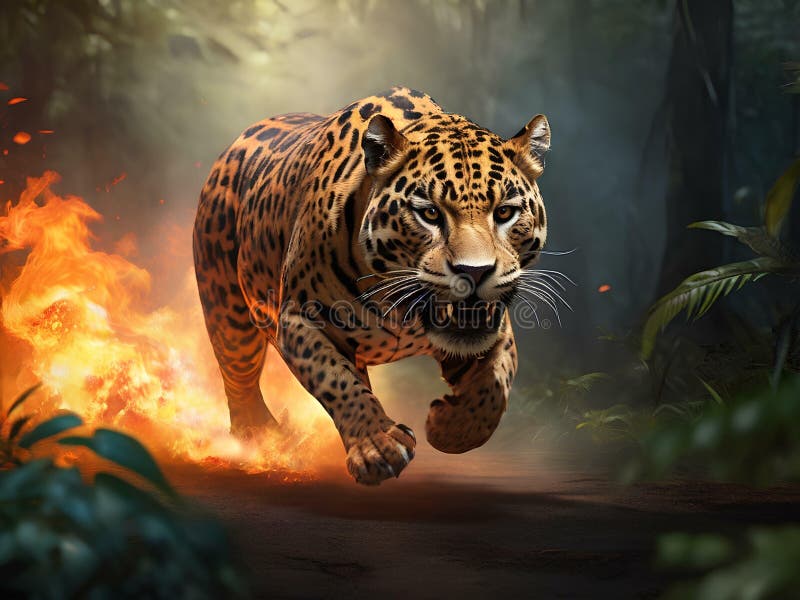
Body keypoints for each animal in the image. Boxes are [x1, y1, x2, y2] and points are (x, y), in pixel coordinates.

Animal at [193, 87, 551, 485]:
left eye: (504, 212)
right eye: (429, 213)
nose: (474, 273)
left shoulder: (494, 327)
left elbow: (496, 383)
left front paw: (448, 427)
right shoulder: (299, 318)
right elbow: (334, 378)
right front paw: (377, 445)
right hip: (228, 316)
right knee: (239, 379)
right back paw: (257, 436)